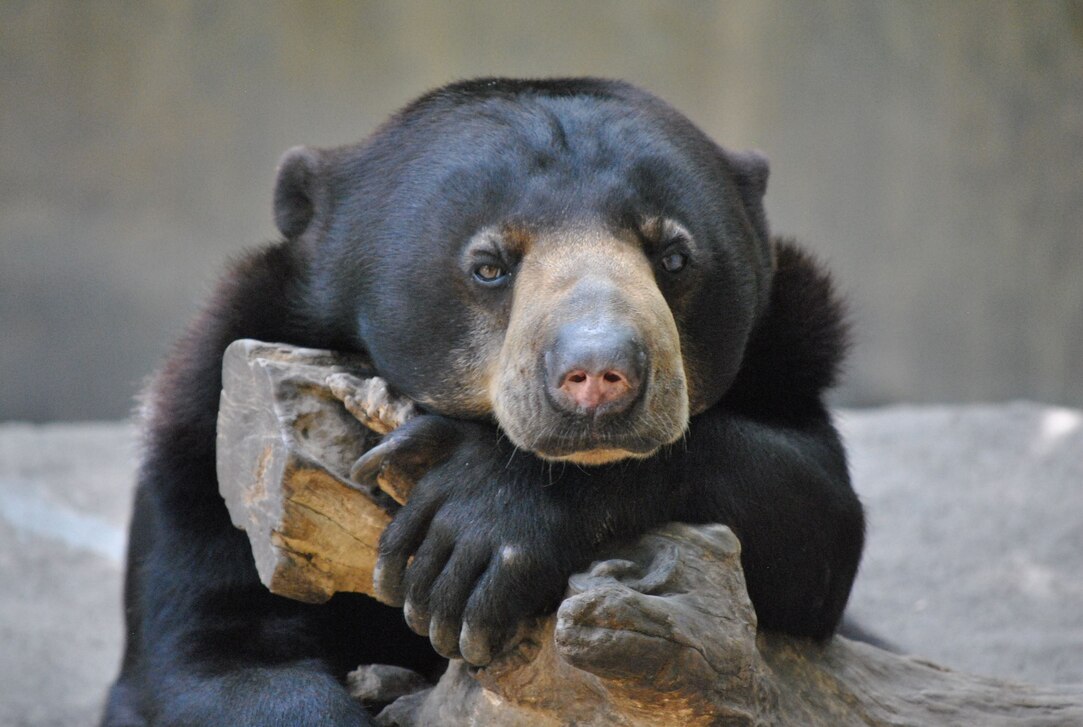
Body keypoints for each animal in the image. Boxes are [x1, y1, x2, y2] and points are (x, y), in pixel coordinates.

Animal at [102, 78, 864, 726]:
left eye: (674, 257)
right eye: (489, 265)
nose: (599, 373)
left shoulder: (794, 359)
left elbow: (817, 520)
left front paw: (476, 529)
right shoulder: (217, 453)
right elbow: (218, 648)